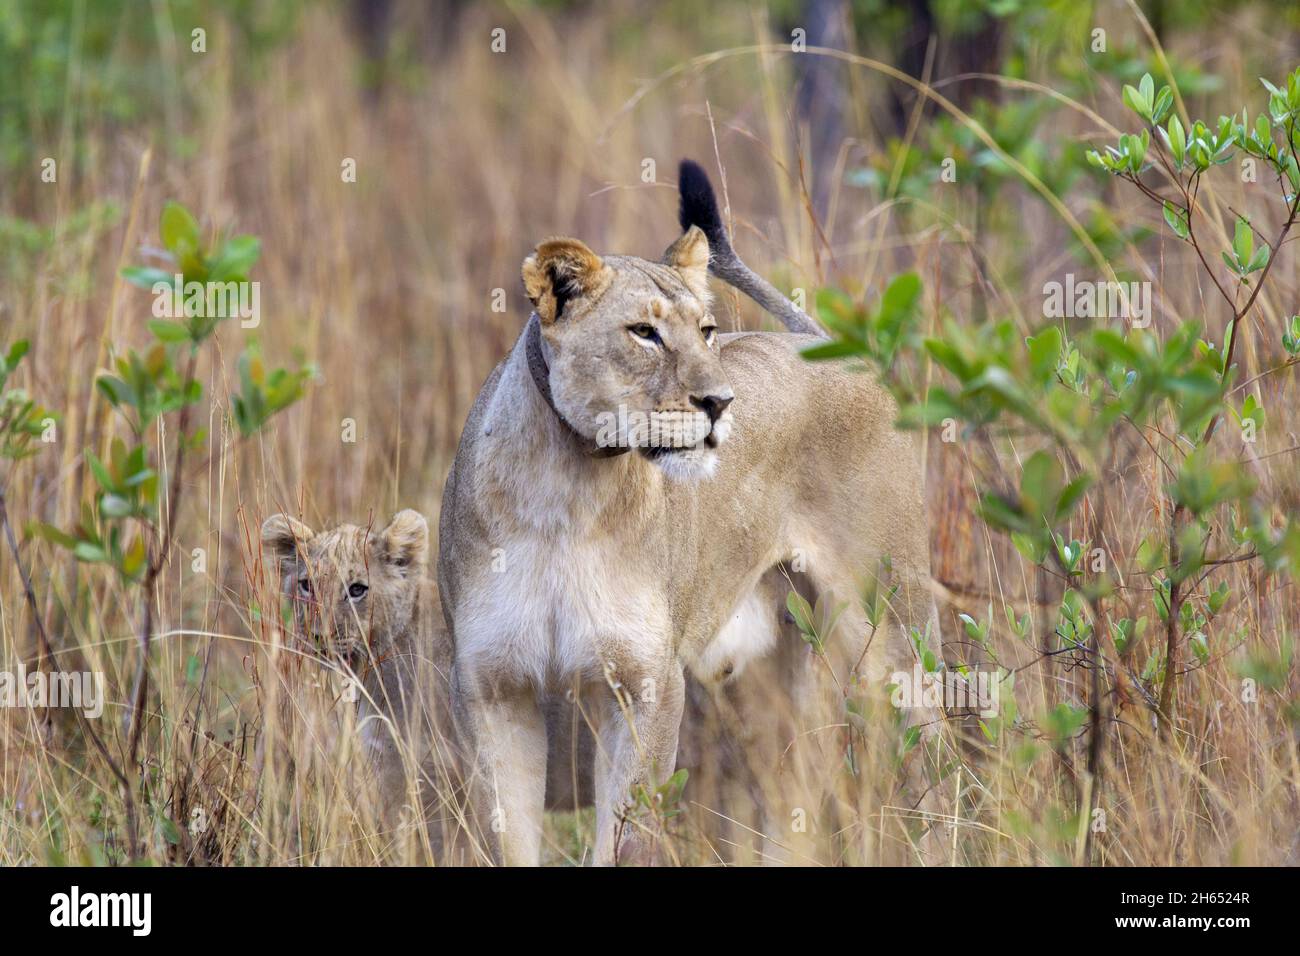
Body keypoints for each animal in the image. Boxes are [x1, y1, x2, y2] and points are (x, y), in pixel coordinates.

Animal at [437, 159, 946, 866]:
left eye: (706, 331)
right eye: (644, 333)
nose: (720, 402)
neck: (566, 492)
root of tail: (829, 345)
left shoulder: (648, 683)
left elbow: (624, 838)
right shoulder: (490, 688)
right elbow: (506, 836)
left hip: (893, 632)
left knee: (932, 762)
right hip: (777, 684)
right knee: (794, 802)